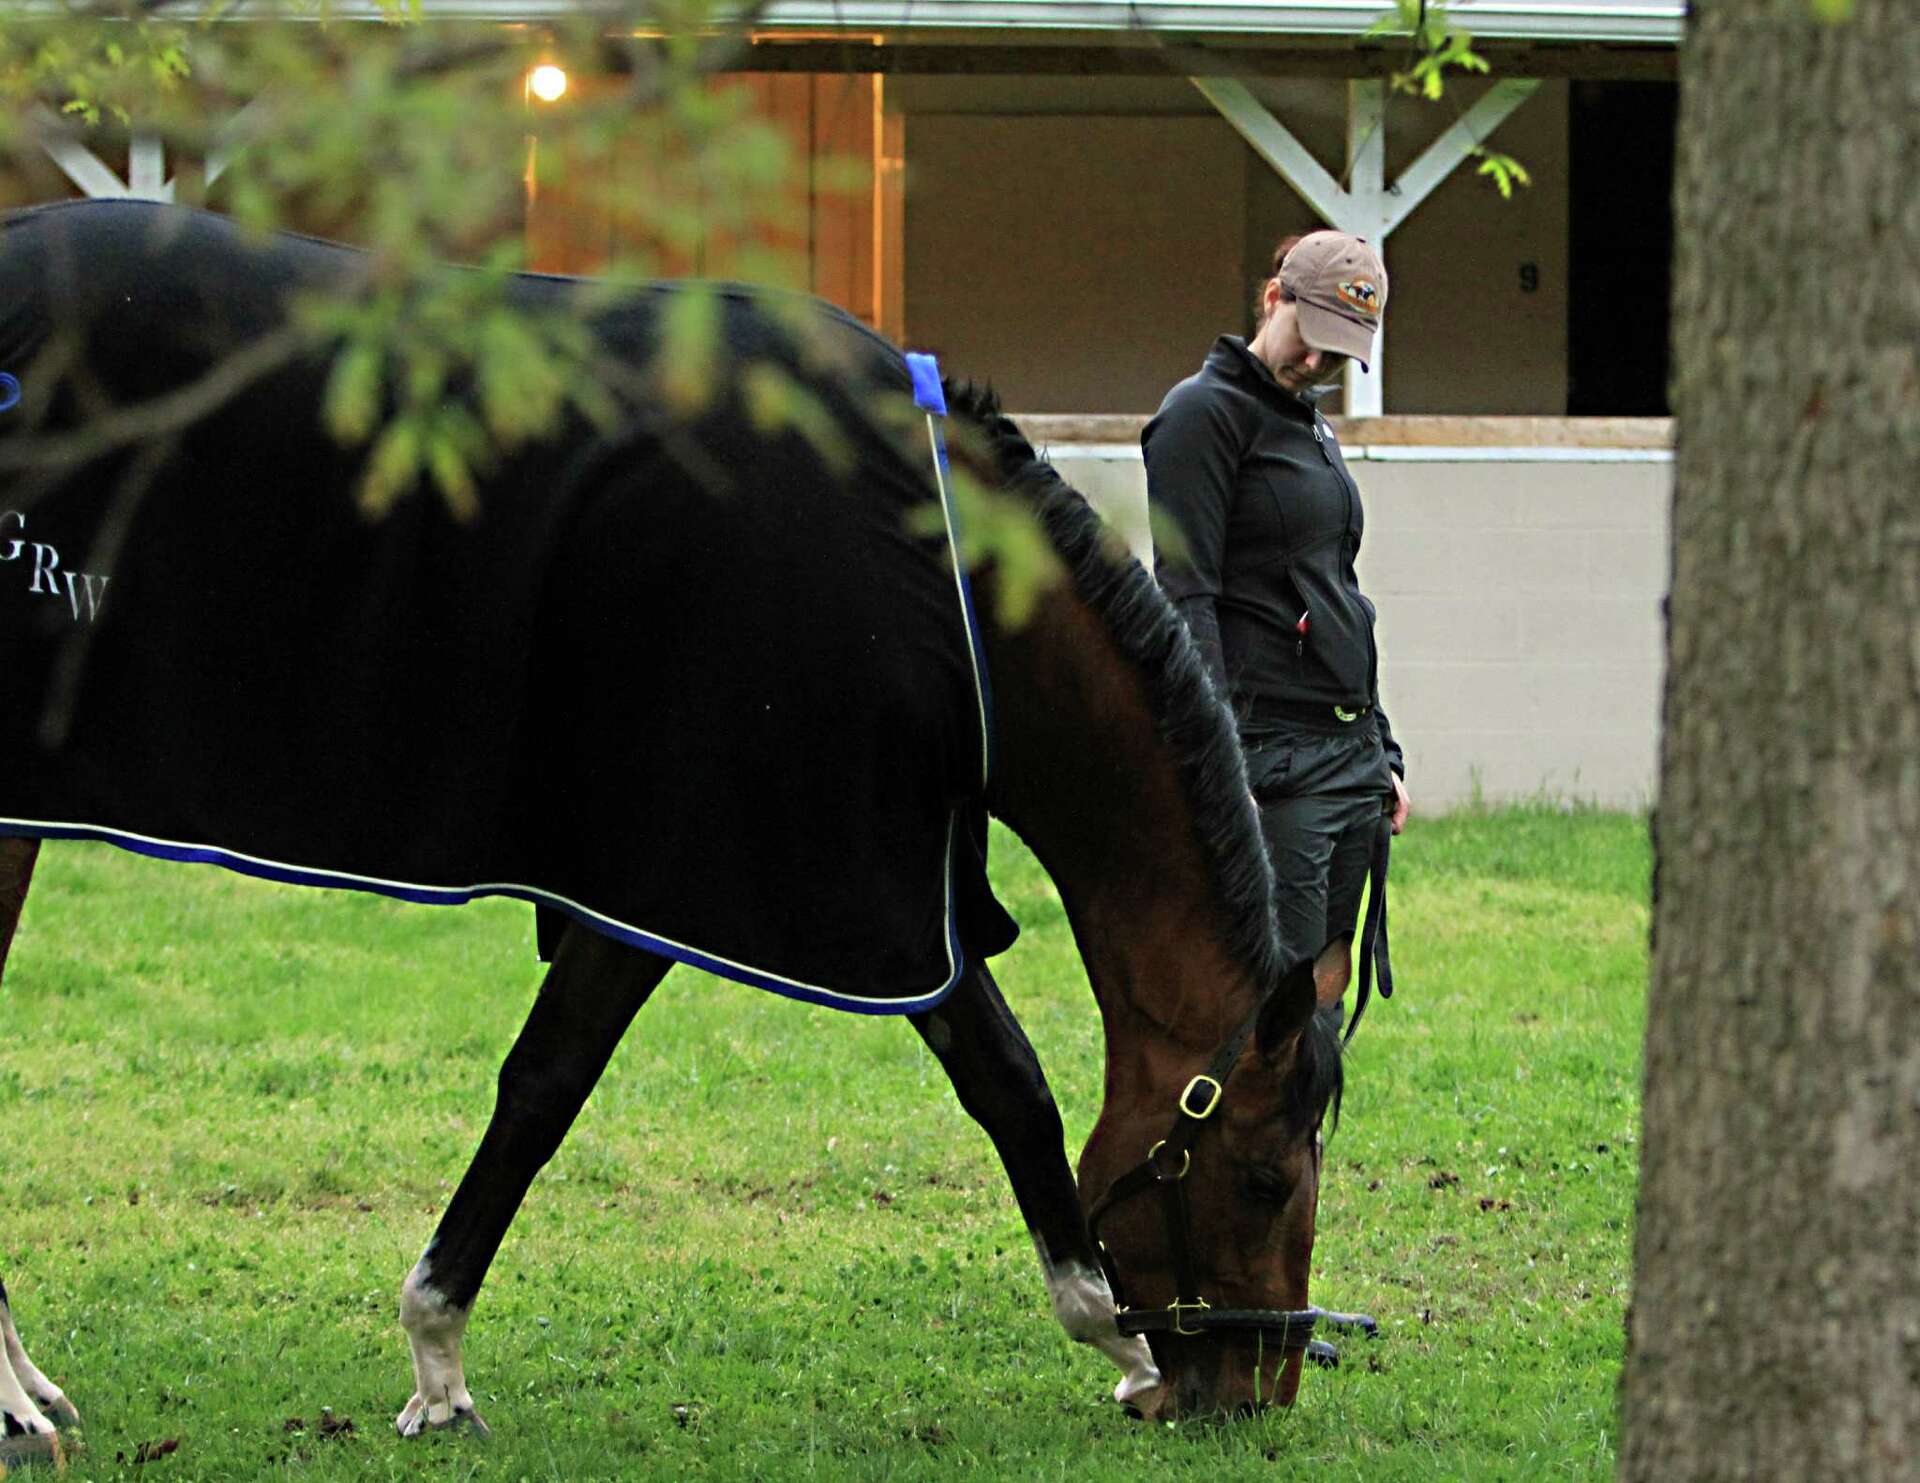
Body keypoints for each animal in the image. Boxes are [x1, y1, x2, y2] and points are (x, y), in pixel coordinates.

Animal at [0, 200, 1360, 1454]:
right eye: (1261, 1177)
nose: (1254, 1390)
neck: (942, 582)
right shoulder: (714, 879)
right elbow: (556, 1088)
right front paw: (437, 1364)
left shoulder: (838, 892)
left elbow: (991, 1080)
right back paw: (16, 1400)